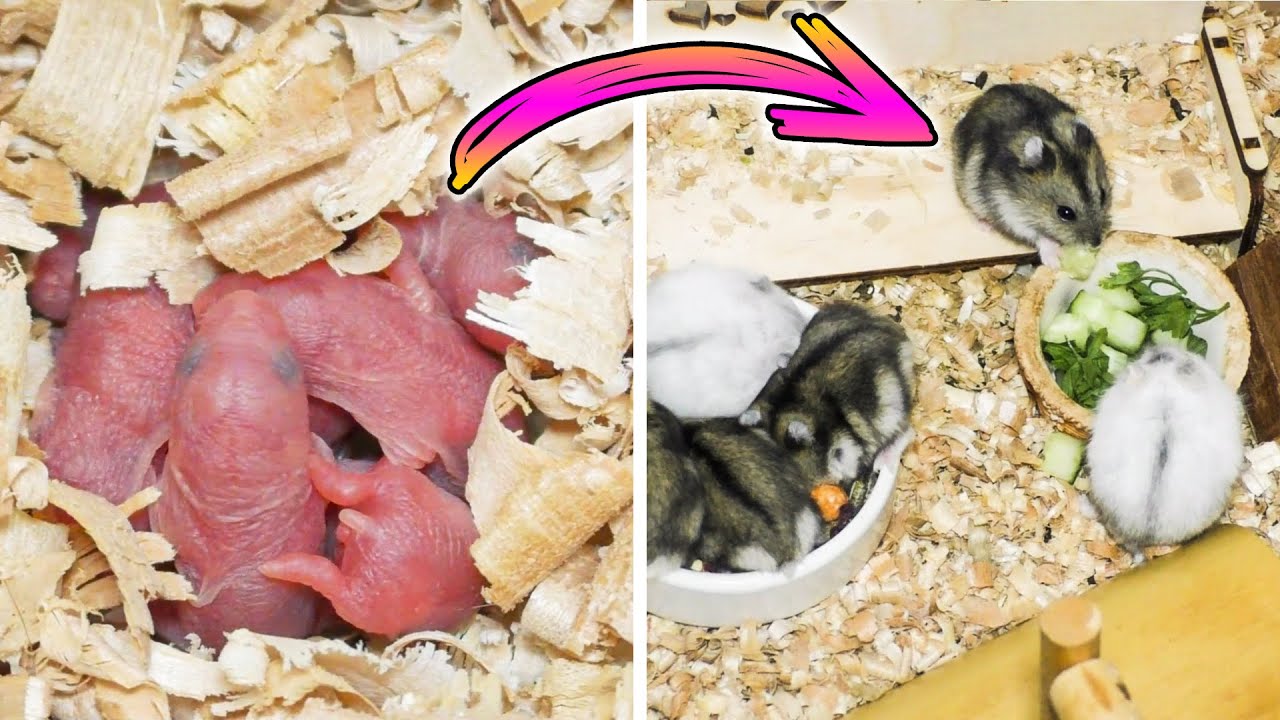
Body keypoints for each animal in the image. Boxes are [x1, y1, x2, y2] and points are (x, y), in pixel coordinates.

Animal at [951, 83, 1112, 269]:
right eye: (1065, 213)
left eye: (1103, 195)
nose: (1096, 243)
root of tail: (991, 91)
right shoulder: (1010, 212)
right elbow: (1038, 235)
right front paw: (1054, 262)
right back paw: (984, 226)